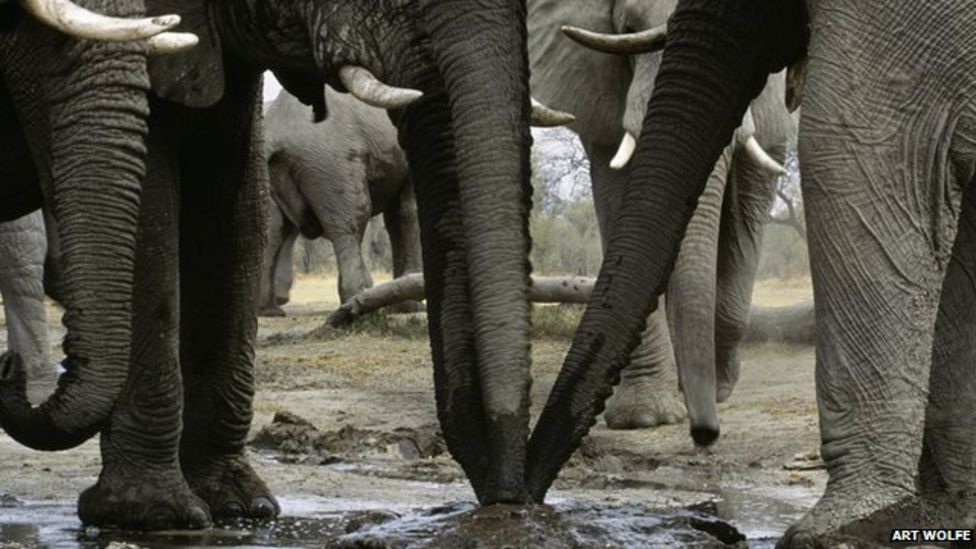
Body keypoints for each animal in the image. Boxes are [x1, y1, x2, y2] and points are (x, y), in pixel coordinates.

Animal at [259, 86, 423, 316]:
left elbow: (398, 215)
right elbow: (407, 211)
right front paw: (410, 306)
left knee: (275, 229)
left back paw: (269, 310)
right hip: (331, 162)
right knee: (351, 220)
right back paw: (360, 300)